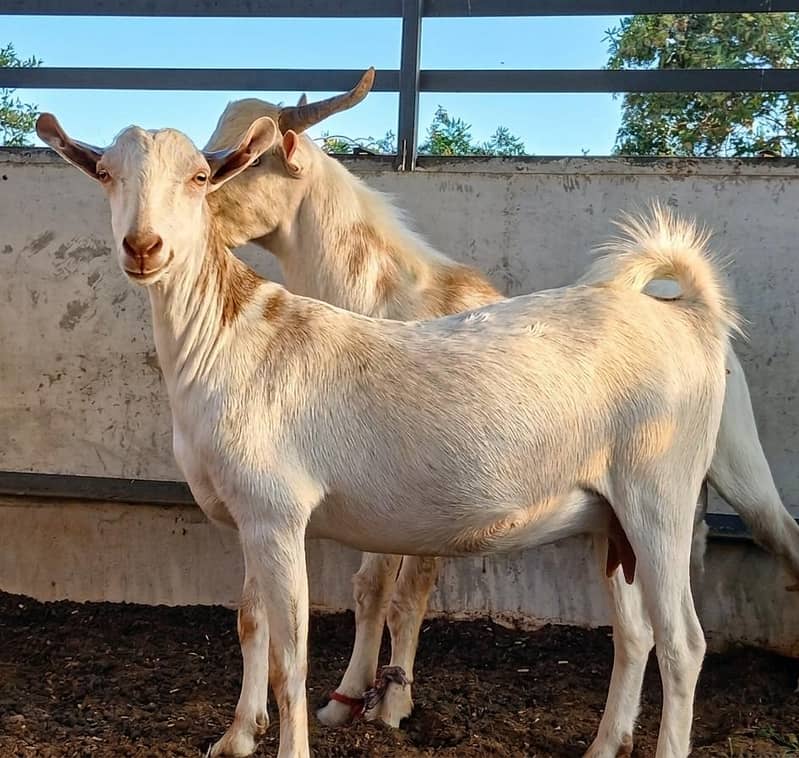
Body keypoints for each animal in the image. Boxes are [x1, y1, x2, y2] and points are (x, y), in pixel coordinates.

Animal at [39, 111, 735, 758]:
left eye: (200, 177)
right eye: (106, 174)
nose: (143, 246)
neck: (227, 337)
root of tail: (691, 316)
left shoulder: (279, 511)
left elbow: (289, 658)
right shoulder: (249, 513)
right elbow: (250, 624)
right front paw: (236, 737)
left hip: (660, 493)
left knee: (683, 642)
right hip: (608, 513)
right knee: (636, 632)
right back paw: (604, 744)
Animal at [203, 72, 799, 734]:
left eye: (250, 157)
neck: (383, 296)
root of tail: (695, 314)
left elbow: (404, 589)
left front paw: (391, 701)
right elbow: (369, 586)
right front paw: (348, 696)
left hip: (729, 465)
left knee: (779, 534)